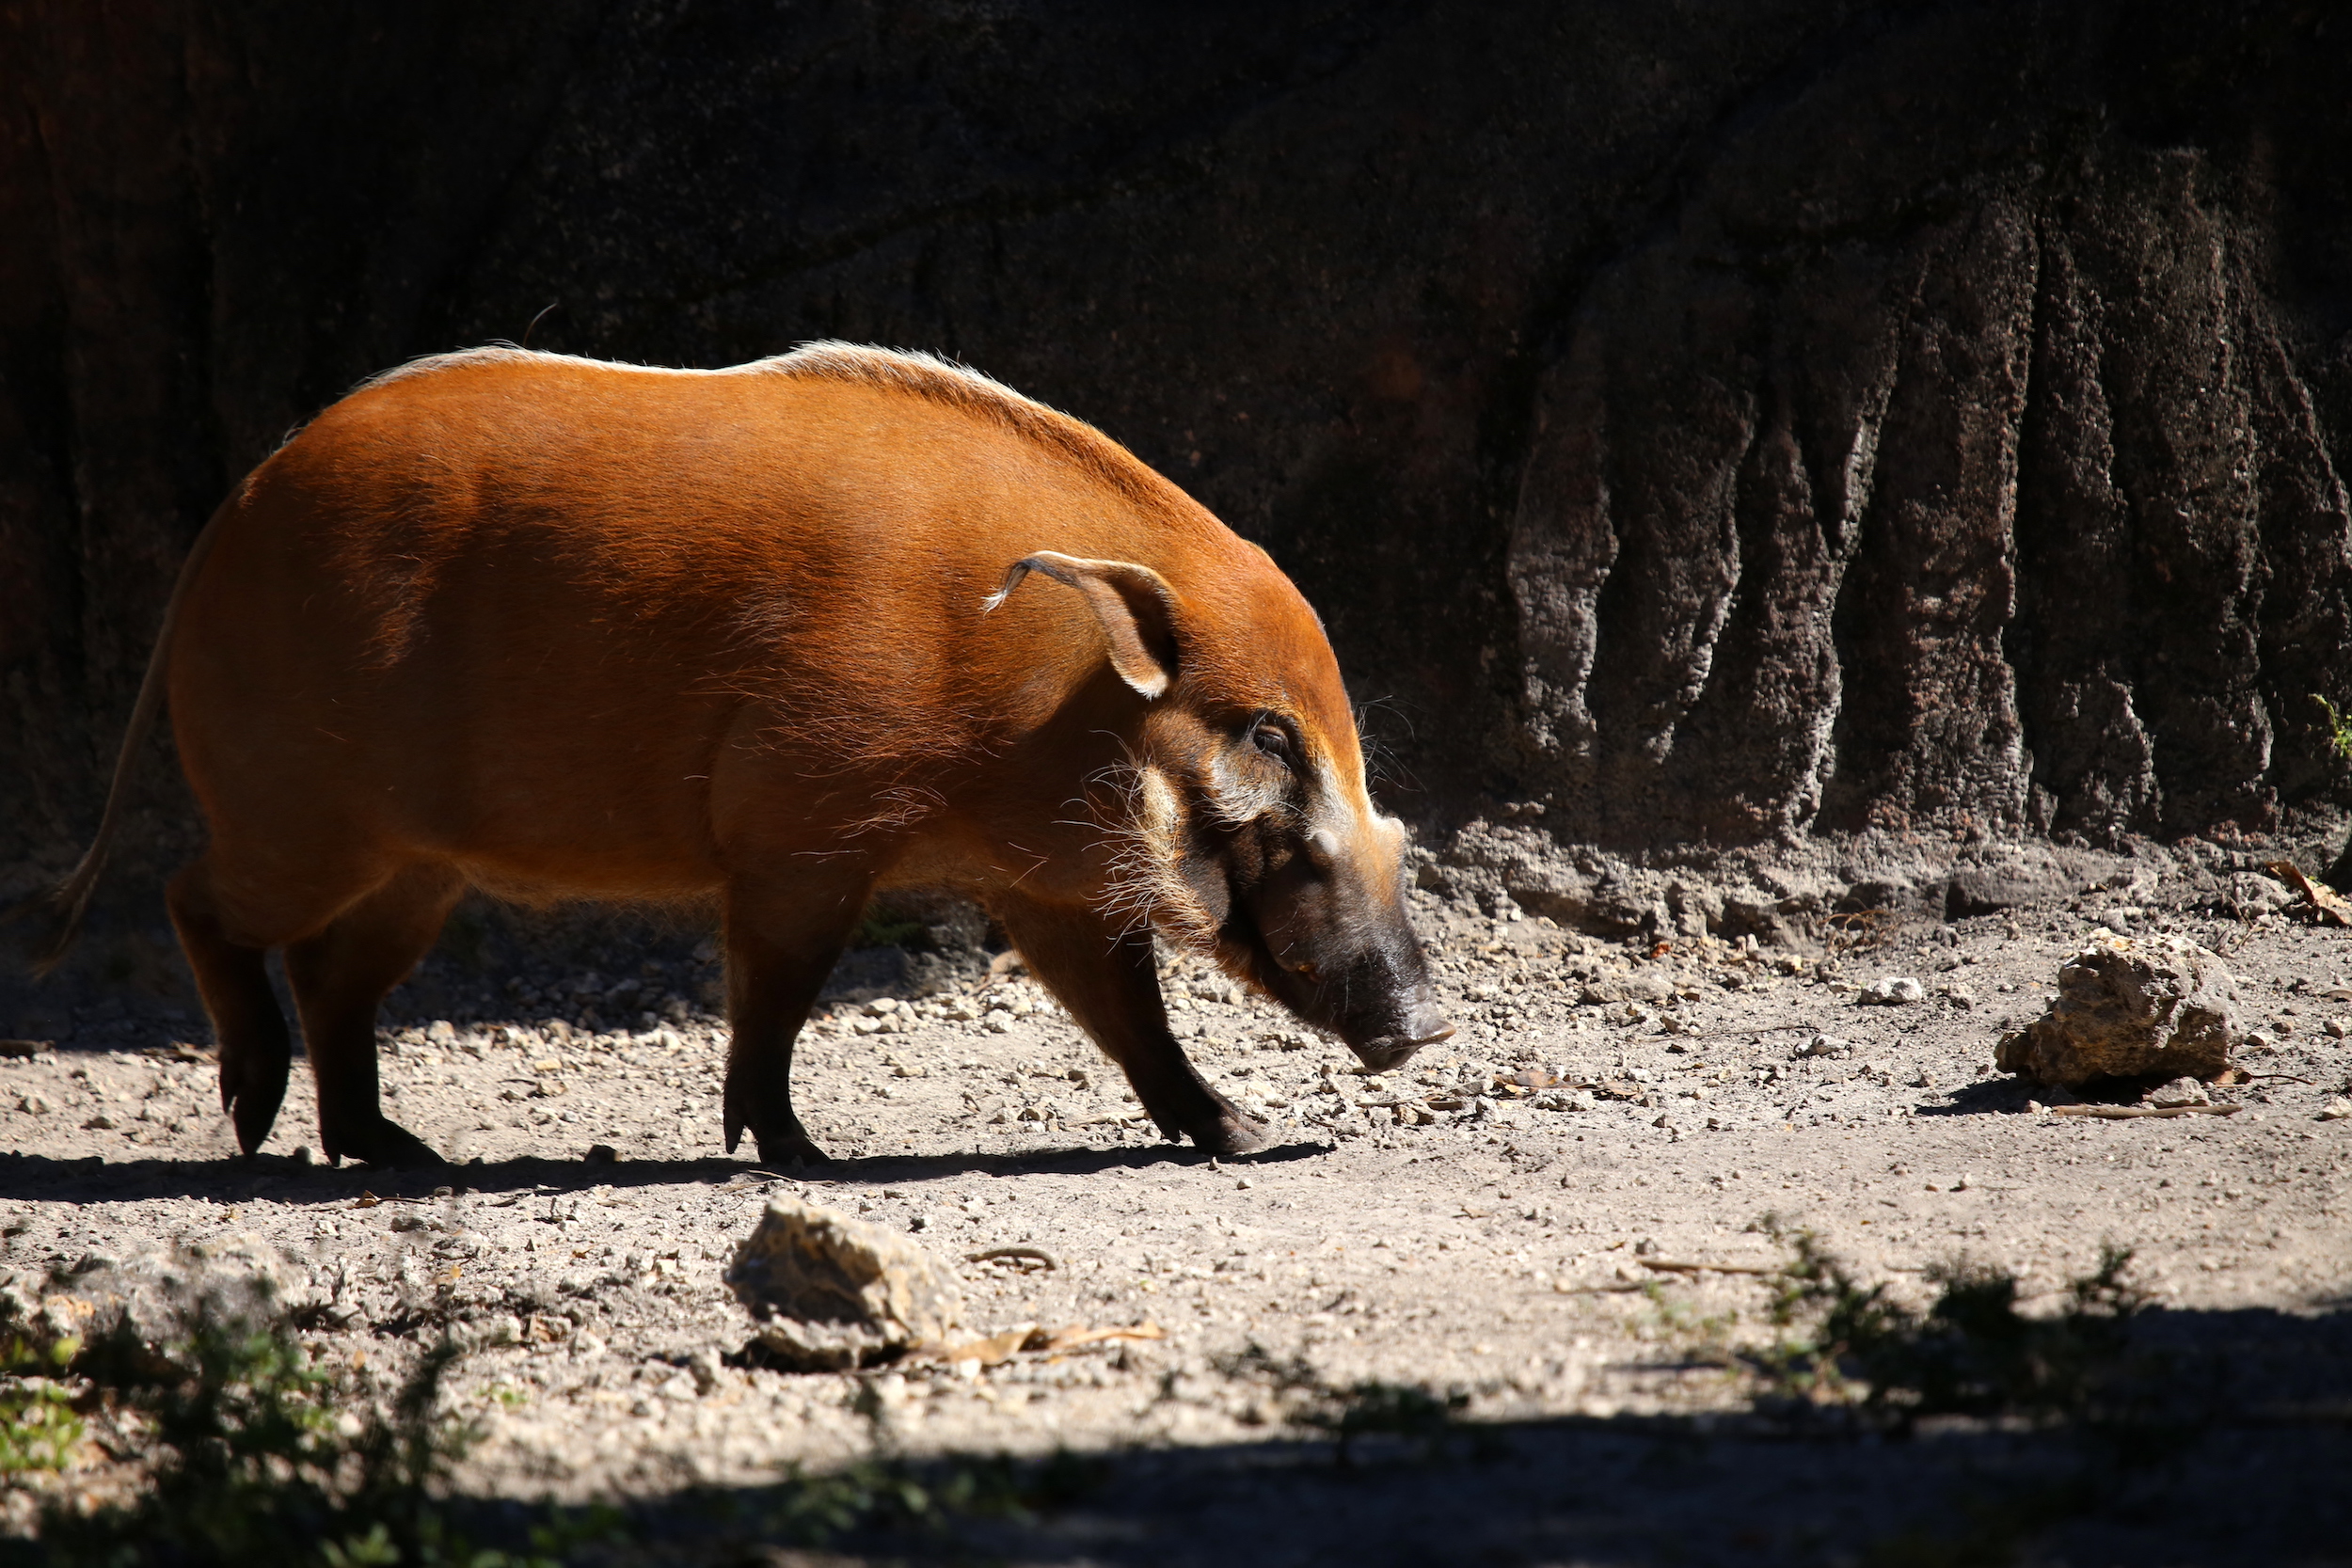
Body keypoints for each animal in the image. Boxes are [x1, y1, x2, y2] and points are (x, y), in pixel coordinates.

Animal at [23, 343, 1454, 1167]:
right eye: (1267, 733)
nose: (1430, 1024)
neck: (1044, 693)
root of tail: (226, 522)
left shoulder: (1038, 879)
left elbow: (1126, 1010)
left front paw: (1244, 1131)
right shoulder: (801, 826)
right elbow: (774, 993)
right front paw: (797, 1156)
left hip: (417, 866)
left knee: (334, 976)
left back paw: (395, 1151)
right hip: (305, 815)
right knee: (198, 902)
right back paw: (256, 1122)